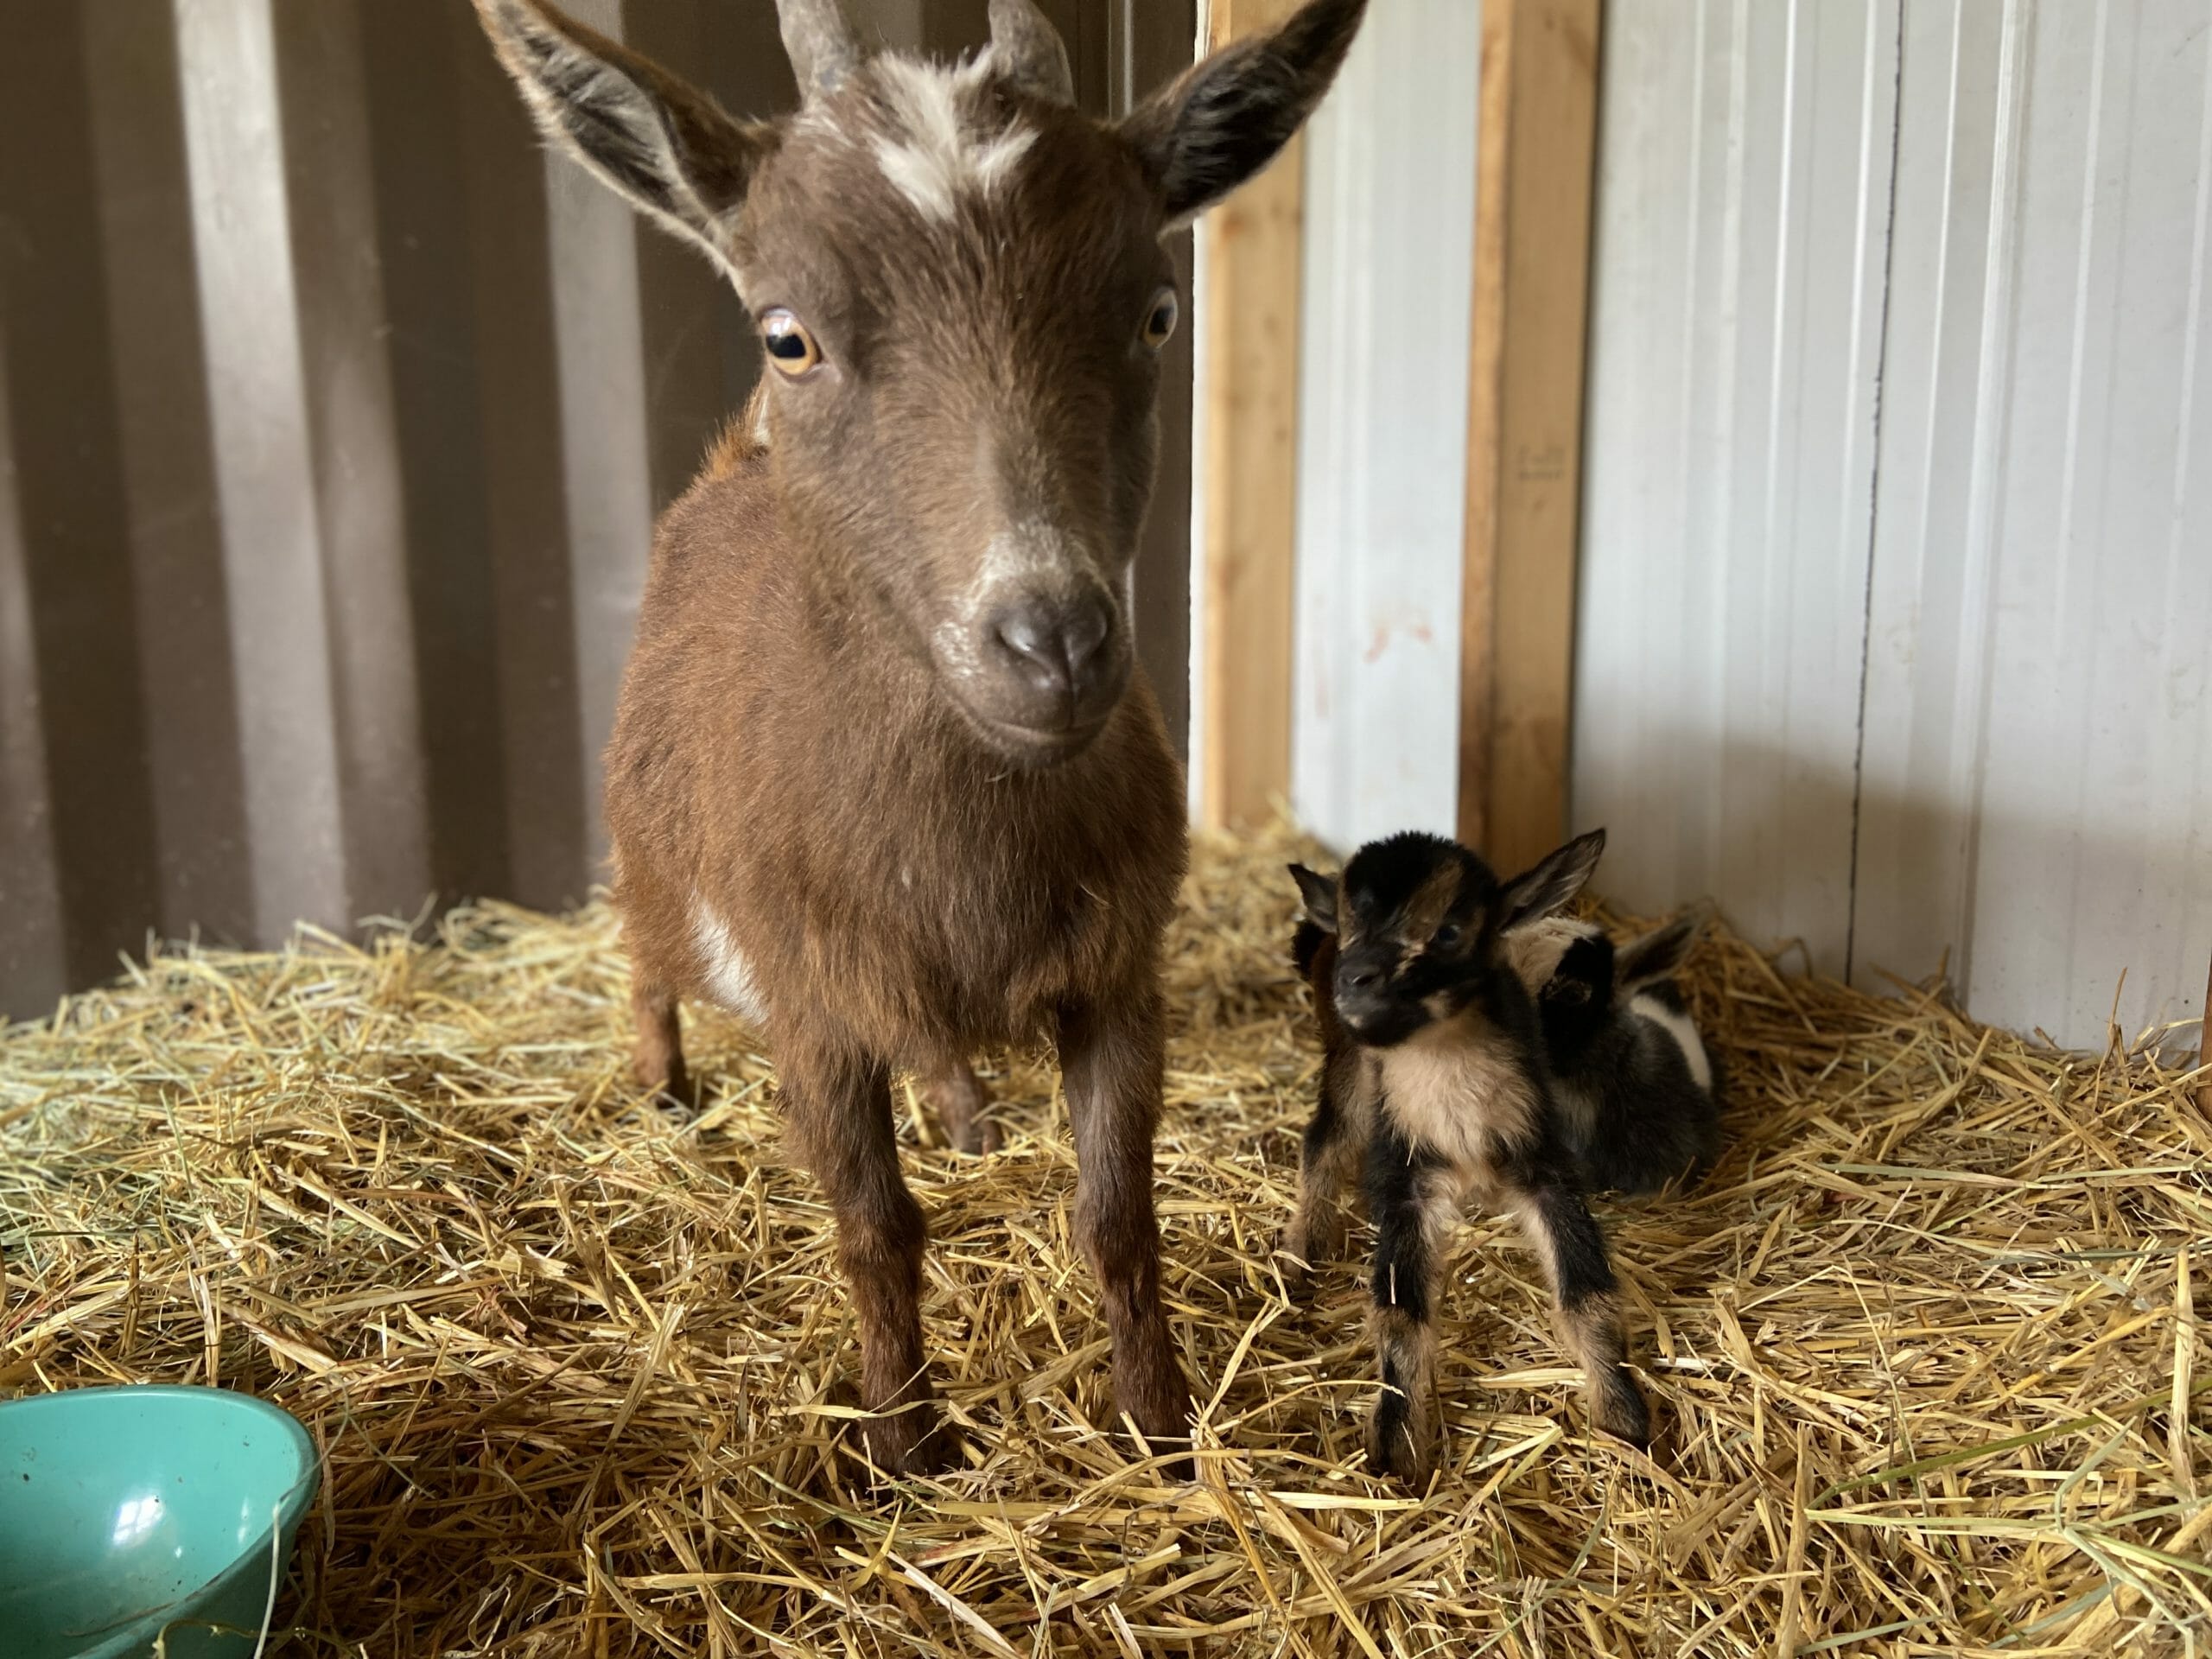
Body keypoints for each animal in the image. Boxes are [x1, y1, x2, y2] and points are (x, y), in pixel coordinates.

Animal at [471, 0, 1368, 1475]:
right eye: (788, 334)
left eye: (1159, 309)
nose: (1054, 642)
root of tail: (733, 468)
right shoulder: (810, 1006)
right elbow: (874, 1227)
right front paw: (904, 1446)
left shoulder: (1119, 977)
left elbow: (1118, 1215)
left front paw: (1158, 1430)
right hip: (654, 861)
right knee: (649, 962)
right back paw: (664, 1090)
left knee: (935, 1045)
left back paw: (966, 1110)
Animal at [1282, 831, 1651, 1485]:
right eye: (1353, 925)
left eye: (1450, 931)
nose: (1354, 979)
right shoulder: (1405, 1177)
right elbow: (1400, 1315)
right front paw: (1396, 1453)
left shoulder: (1542, 1162)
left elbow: (1587, 1290)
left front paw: (1623, 1419)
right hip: (1348, 1065)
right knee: (1325, 1142)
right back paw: (1303, 1255)